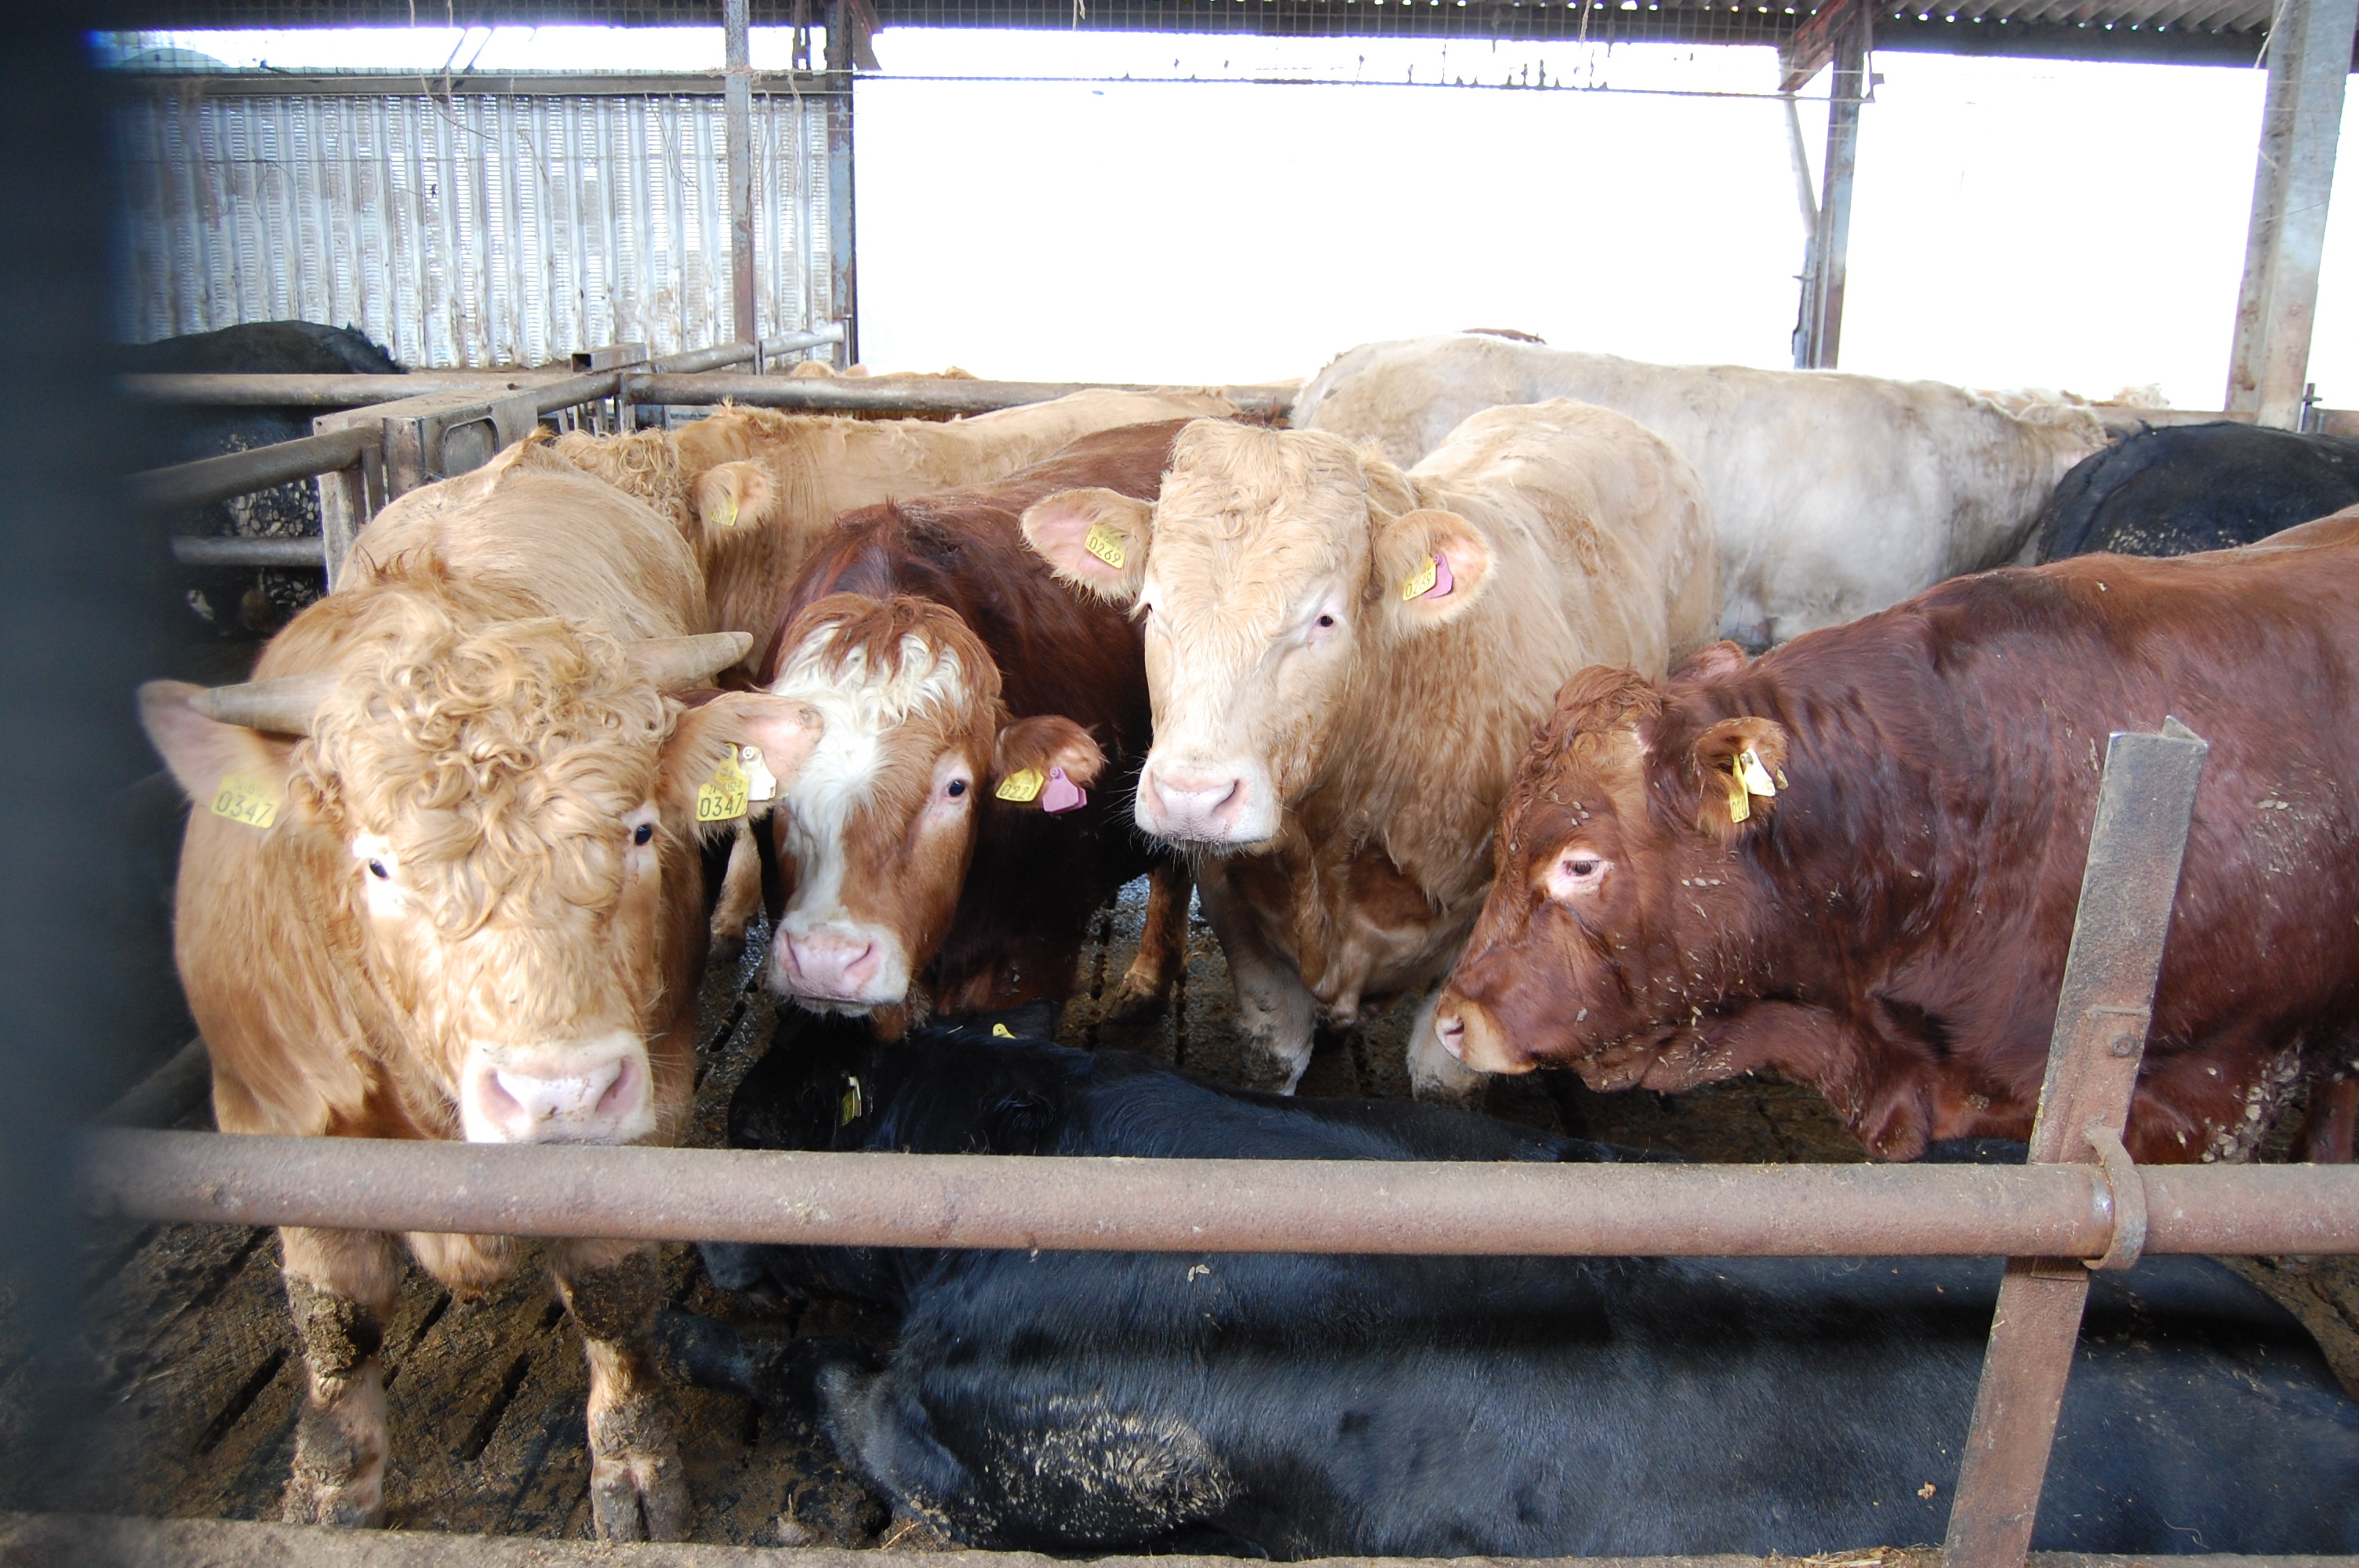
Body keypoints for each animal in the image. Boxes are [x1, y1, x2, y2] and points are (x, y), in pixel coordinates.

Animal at [136, 442, 825, 1539]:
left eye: (640, 829)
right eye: (377, 863)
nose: (560, 1092)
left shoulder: (648, 1103)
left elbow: (614, 1293)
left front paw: (633, 1463)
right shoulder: (273, 1122)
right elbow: (335, 1324)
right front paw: (330, 1484)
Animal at [1020, 402, 1716, 1098]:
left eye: (1325, 619)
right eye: (1151, 607)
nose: (1192, 797)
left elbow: (1441, 1080)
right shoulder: (1240, 922)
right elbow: (1274, 1055)